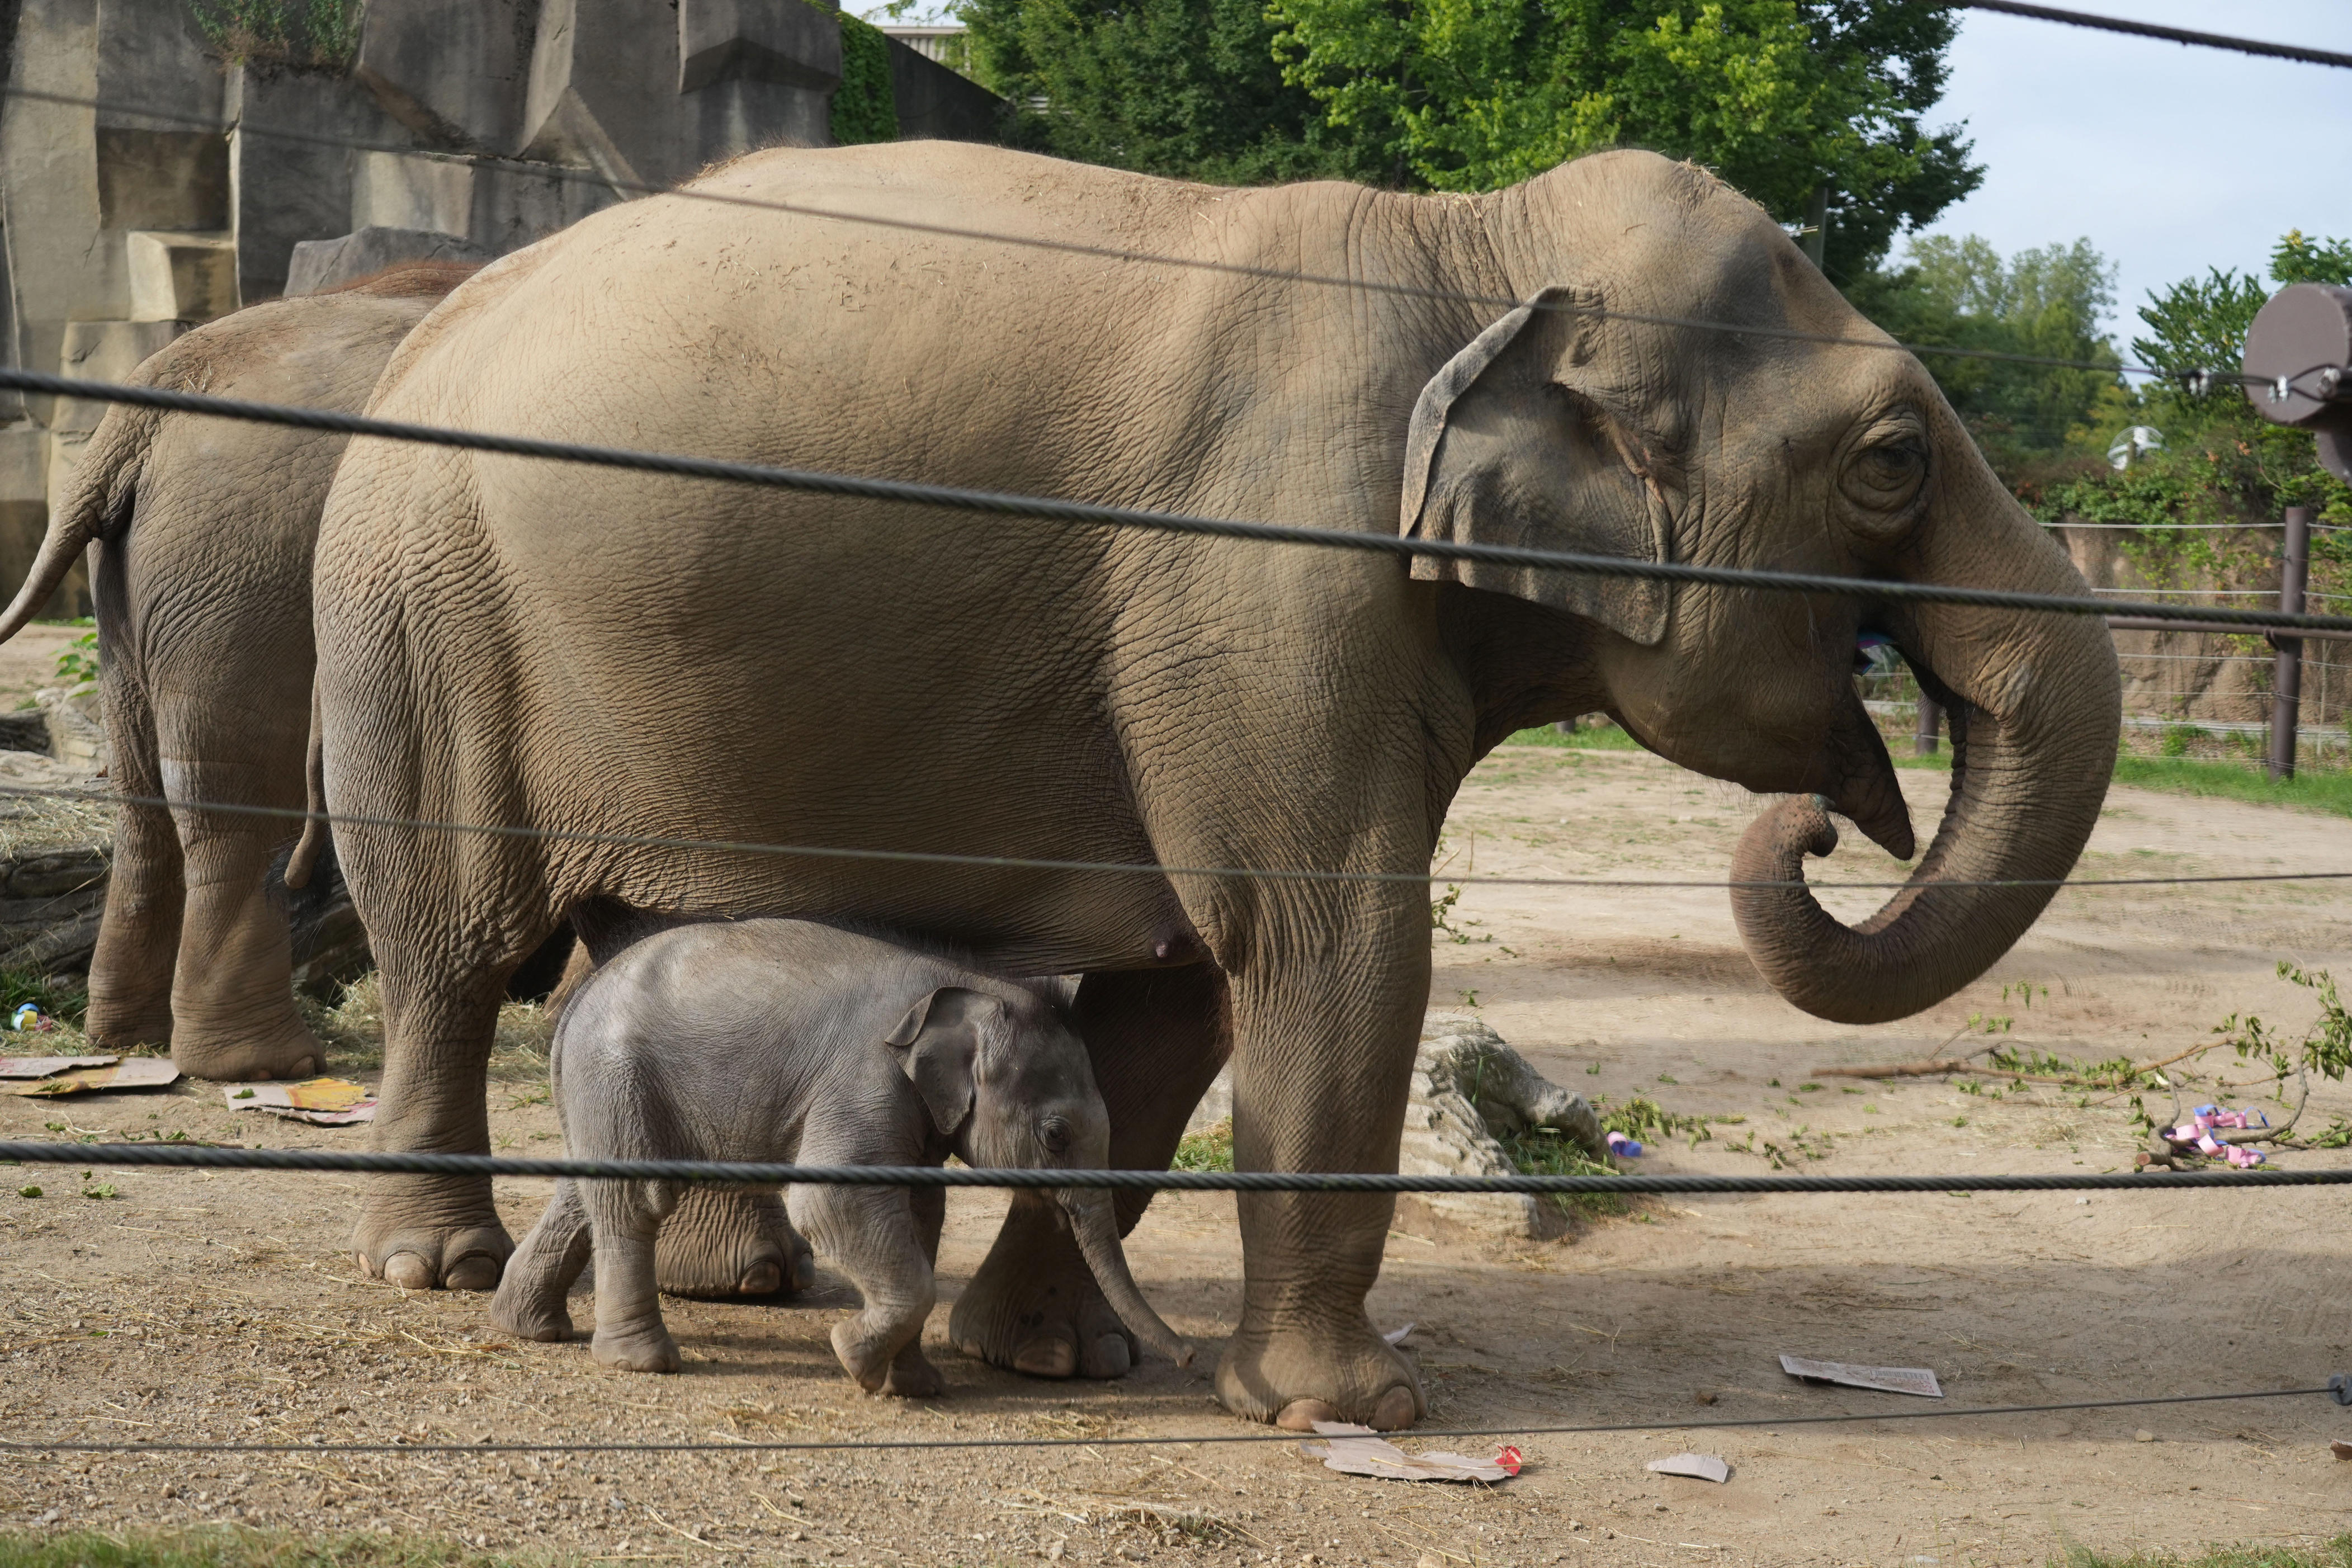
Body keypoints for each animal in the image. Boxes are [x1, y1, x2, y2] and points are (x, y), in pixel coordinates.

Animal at [0, 268, 808, 1299]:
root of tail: (146, 401)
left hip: (155, 573)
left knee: (145, 798)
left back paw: (131, 1037)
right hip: (246, 565)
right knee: (236, 802)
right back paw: (267, 1056)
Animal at [489, 918, 1191, 1393]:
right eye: (1055, 1134)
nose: (1185, 1358)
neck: (970, 984)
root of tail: (576, 1002)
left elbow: (923, 1210)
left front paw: (916, 1385)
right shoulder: (866, 1079)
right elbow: (831, 1200)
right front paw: (852, 1357)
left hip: (603, 1090)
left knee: (583, 1195)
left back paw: (532, 1328)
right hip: (620, 1074)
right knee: (636, 1200)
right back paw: (644, 1361)